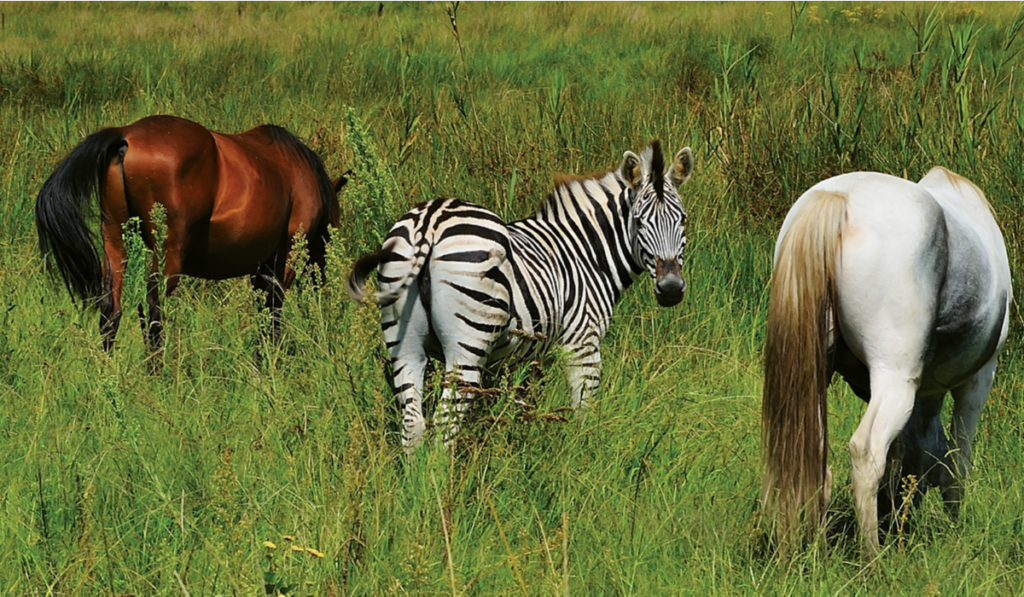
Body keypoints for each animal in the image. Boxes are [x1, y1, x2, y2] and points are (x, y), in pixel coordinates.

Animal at [36, 115, 343, 353]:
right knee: (152, 310)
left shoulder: (261, 267)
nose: (323, 281)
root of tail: (126, 136)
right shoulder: (285, 257)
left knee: (111, 311)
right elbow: (273, 312)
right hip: (169, 254)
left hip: (114, 241)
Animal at [348, 140, 693, 452]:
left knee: (413, 423)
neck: (586, 254)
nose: (671, 289)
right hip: (467, 344)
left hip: (402, 342)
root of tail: (429, 222)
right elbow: (583, 411)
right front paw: (580, 456)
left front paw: (517, 453)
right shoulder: (583, 342)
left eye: (683, 219)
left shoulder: (526, 357)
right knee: (445, 423)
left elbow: (520, 410)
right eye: (639, 221)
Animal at [761, 167, 1012, 555]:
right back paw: (872, 556)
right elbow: (957, 461)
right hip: (896, 379)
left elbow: (902, 453)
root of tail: (841, 198)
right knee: (867, 453)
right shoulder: (978, 381)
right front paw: (955, 530)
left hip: (818, 375)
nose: (903, 518)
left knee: (813, 455)